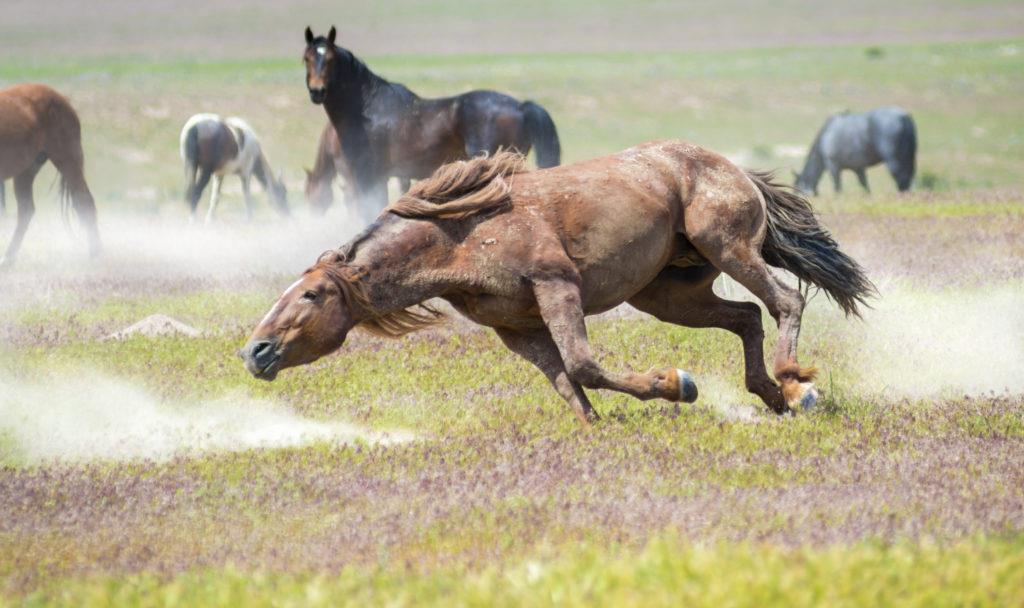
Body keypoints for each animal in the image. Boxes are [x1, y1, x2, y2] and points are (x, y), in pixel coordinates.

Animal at [0, 82, 101, 266]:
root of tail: (61, 98)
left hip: (68, 161)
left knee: (85, 200)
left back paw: (95, 253)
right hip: (26, 171)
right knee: (26, 211)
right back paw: (9, 258)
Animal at [239, 139, 872, 423]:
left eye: (312, 294)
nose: (255, 351)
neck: (463, 238)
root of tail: (732, 168)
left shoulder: (555, 286)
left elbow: (584, 364)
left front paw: (677, 384)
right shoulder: (516, 328)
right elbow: (566, 380)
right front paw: (597, 426)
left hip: (730, 247)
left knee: (784, 301)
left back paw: (797, 385)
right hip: (668, 294)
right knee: (746, 317)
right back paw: (772, 396)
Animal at [299, 25, 565, 222]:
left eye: (330, 59)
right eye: (306, 59)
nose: (317, 91)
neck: (366, 110)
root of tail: (521, 106)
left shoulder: (366, 178)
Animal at [790, 106, 921, 194]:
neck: (825, 136)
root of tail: (904, 117)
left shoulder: (833, 165)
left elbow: (838, 187)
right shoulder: (859, 168)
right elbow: (865, 186)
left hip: (894, 160)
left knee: (901, 179)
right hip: (909, 157)